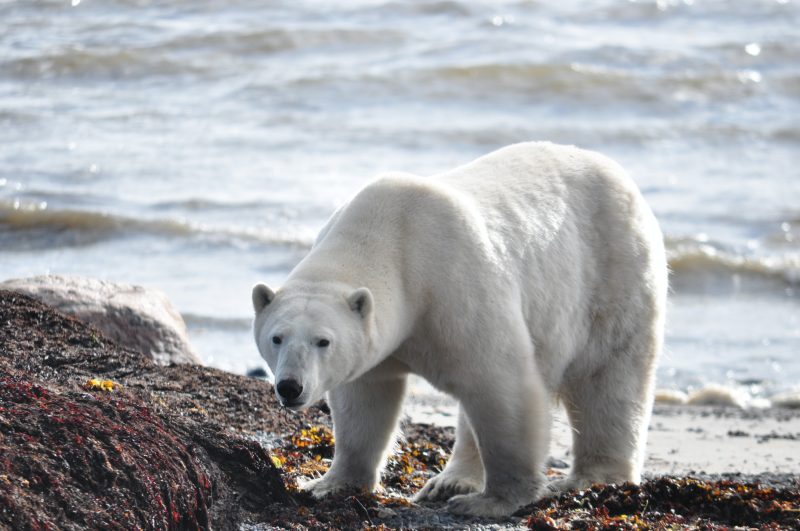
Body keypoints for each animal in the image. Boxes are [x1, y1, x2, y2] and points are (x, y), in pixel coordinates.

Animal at [252, 141, 667, 517]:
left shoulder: (454, 288)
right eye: (277, 338)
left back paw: (594, 477)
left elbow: (501, 383)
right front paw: (328, 484)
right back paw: (450, 481)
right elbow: (366, 400)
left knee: (608, 380)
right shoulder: (380, 340)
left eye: (323, 341)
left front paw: (493, 502)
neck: (393, 240)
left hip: (613, 273)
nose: (290, 387)